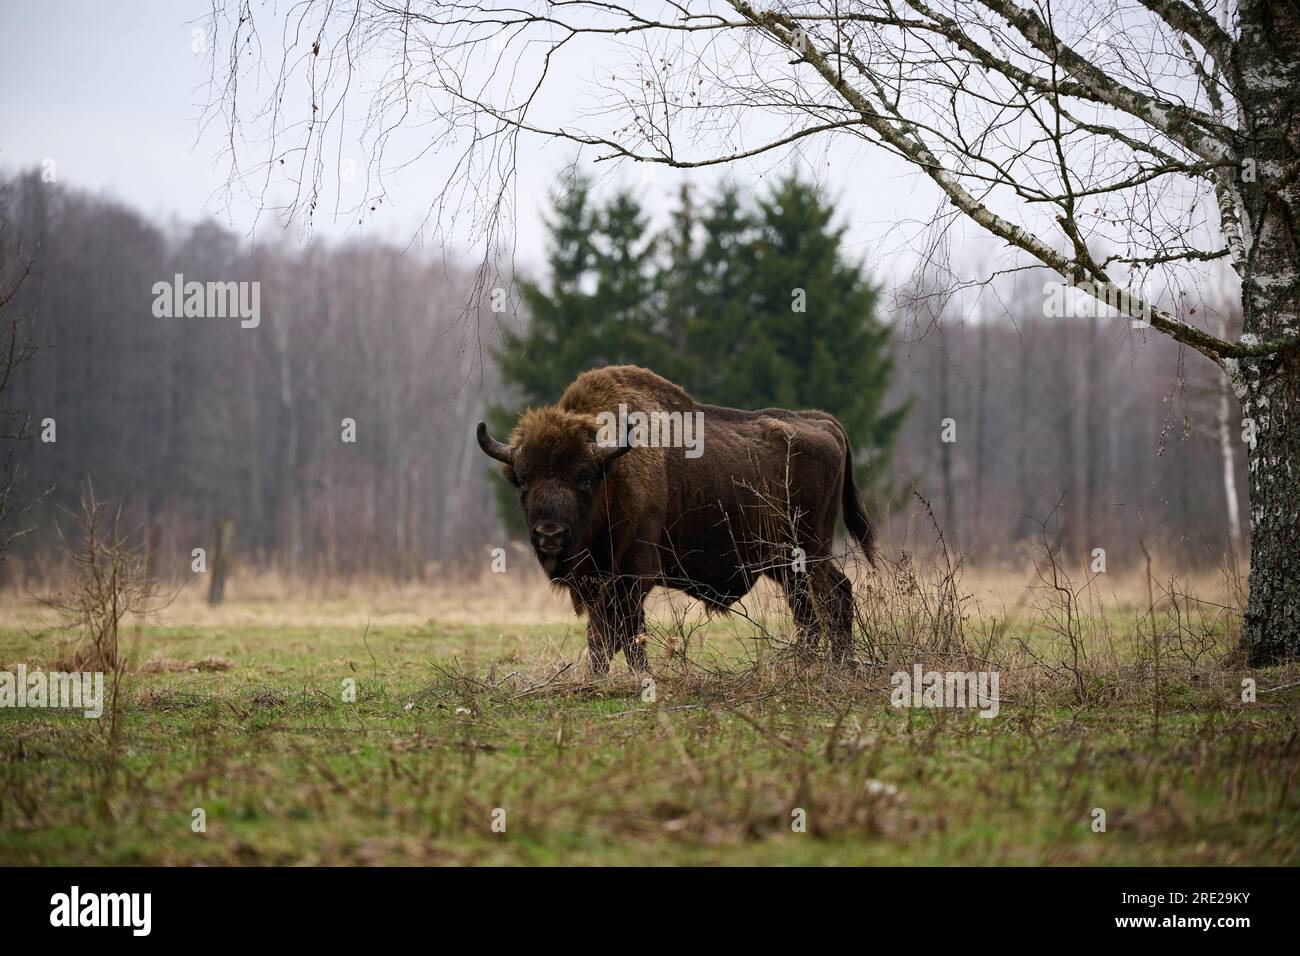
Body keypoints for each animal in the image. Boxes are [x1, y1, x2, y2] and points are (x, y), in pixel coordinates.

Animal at [477, 365, 875, 672]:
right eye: (523, 480)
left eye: (585, 478)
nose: (550, 534)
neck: (613, 468)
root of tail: (824, 422)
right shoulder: (598, 580)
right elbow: (602, 635)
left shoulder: (632, 575)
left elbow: (622, 633)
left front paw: (640, 677)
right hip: (785, 562)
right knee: (821, 601)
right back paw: (826, 663)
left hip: (808, 552)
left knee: (828, 599)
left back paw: (829, 664)